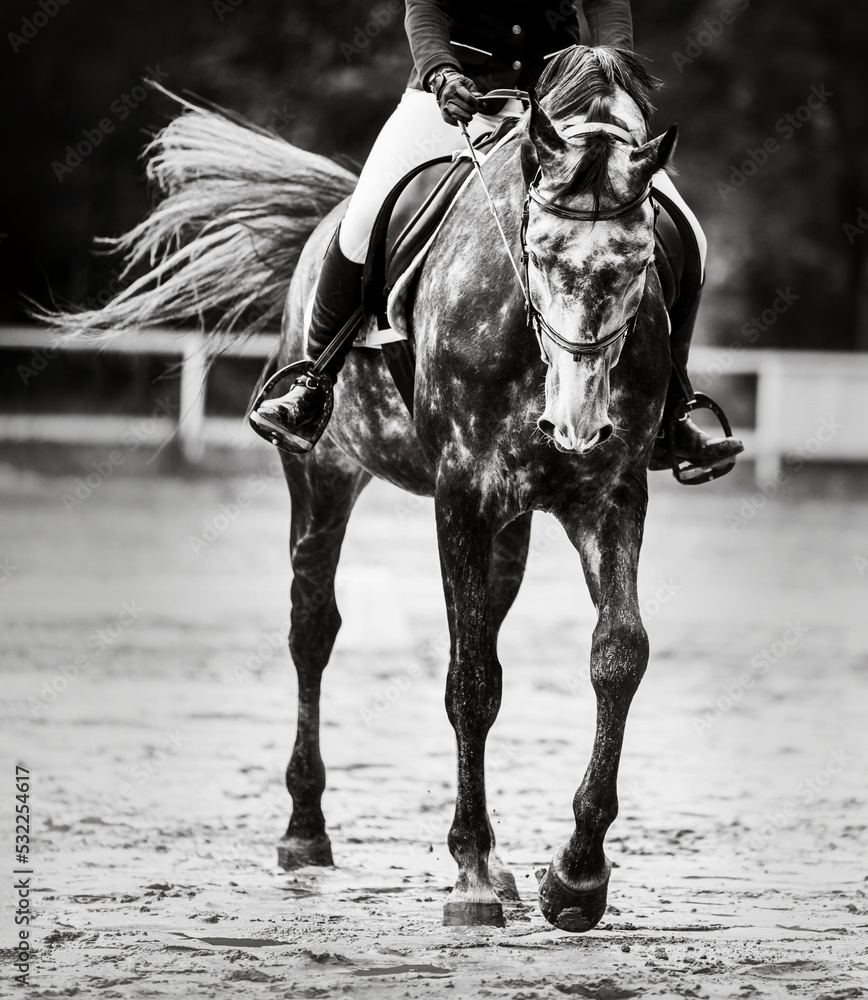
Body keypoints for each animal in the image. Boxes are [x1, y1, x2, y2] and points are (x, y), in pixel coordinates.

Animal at [47, 46, 677, 932]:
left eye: (641, 261)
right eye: (536, 250)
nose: (577, 423)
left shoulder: (609, 496)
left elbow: (617, 654)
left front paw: (576, 878)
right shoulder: (460, 495)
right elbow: (469, 685)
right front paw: (471, 878)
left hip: (509, 527)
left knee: (482, 636)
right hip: (322, 475)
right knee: (314, 629)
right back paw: (307, 834)